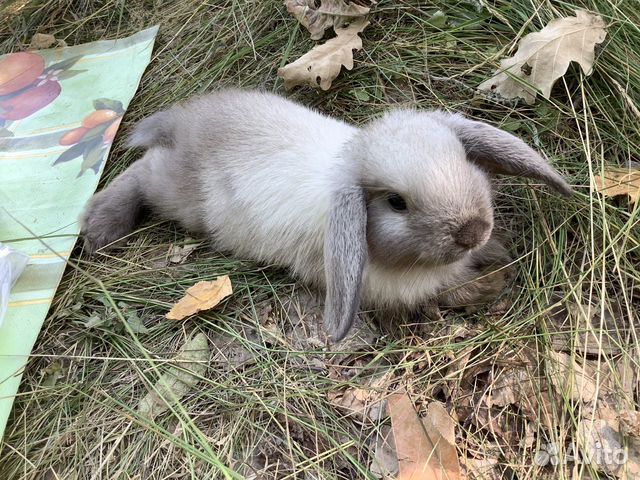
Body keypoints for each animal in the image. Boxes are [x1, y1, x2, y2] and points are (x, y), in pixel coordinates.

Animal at [81, 89, 572, 341]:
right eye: (396, 202)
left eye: (463, 160)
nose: (473, 230)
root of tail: (185, 124)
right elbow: (456, 291)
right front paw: (497, 278)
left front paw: (498, 252)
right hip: (178, 195)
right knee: (141, 172)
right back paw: (100, 226)